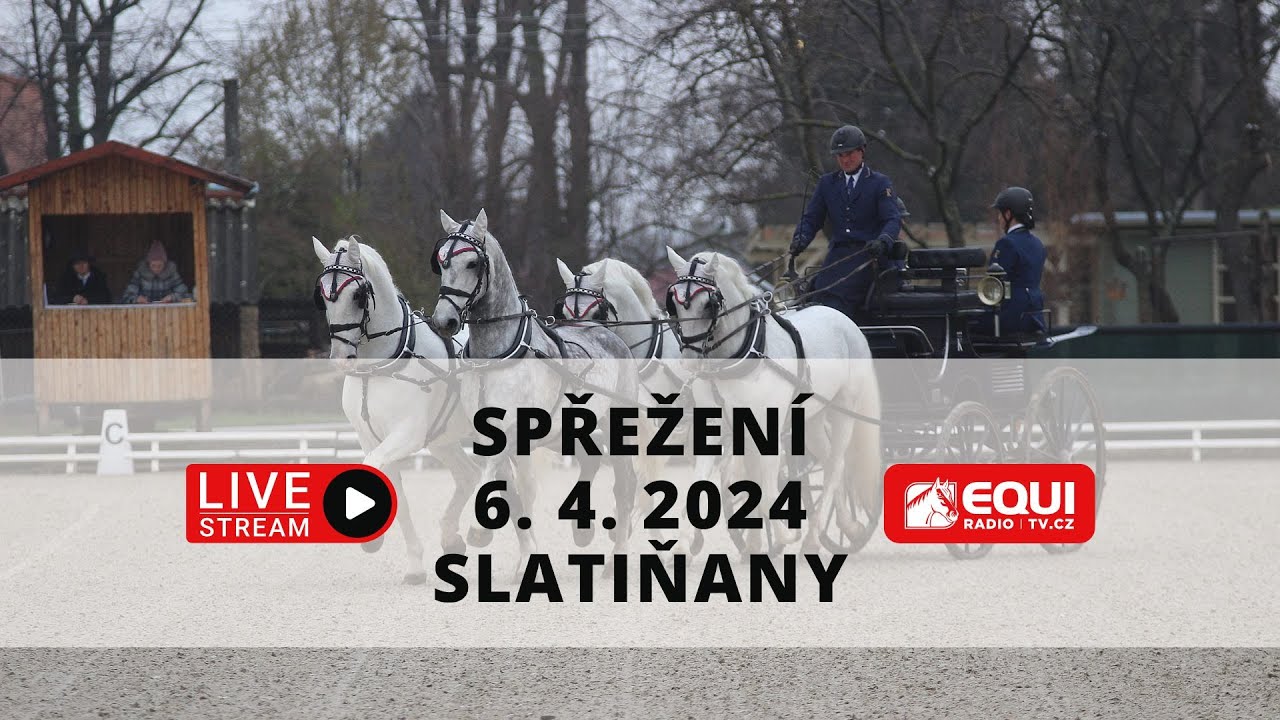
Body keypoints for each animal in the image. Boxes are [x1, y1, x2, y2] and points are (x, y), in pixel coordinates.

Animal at [311, 234, 479, 584]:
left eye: (357, 294)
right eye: (322, 294)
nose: (340, 358)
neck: (379, 367)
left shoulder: (406, 436)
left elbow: (372, 466)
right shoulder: (372, 439)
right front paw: (415, 566)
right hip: (442, 440)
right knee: (469, 473)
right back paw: (451, 538)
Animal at [428, 210, 642, 573]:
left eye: (473, 263)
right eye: (441, 261)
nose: (444, 320)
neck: (497, 355)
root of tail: (603, 331)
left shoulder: (514, 430)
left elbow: (498, 478)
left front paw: (477, 531)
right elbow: (515, 495)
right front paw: (526, 553)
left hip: (617, 425)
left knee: (625, 486)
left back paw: (619, 554)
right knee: (591, 465)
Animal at [664, 247, 883, 554]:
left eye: (708, 304)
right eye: (674, 303)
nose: (689, 361)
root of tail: (843, 319)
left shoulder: (767, 425)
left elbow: (767, 490)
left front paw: (784, 536)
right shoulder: (721, 426)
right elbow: (718, 479)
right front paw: (686, 545)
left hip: (845, 409)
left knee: (836, 466)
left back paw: (815, 539)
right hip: (813, 418)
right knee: (828, 460)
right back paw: (843, 527)